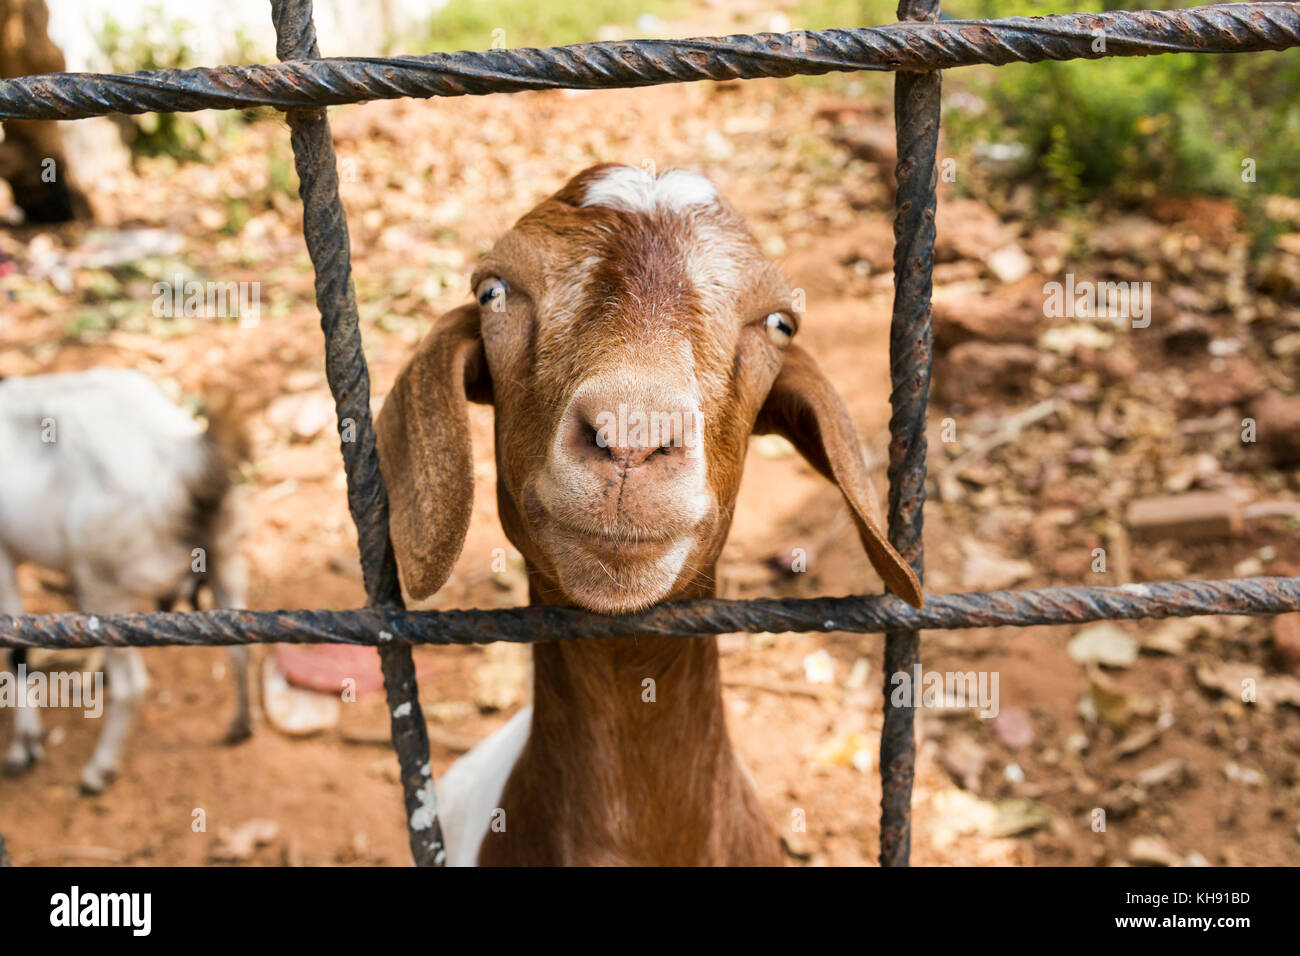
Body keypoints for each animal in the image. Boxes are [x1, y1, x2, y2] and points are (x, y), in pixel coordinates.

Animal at [0, 368, 251, 793]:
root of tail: (183, 457)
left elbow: (16, 653)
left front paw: (24, 746)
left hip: (103, 585)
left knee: (133, 685)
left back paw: (98, 768)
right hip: (227, 559)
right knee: (241, 649)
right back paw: (241, 726)